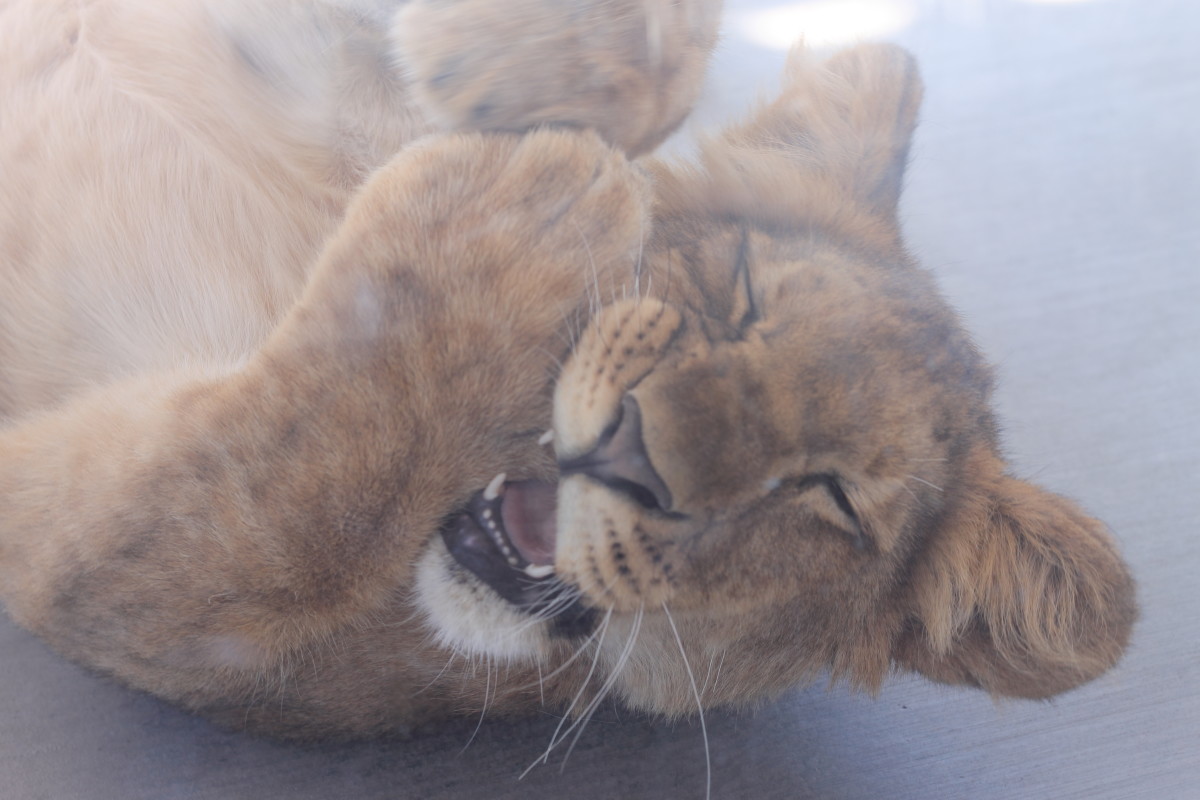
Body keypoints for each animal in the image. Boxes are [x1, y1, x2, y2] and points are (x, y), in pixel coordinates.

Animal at [0, 0, 1135, 743]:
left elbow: (254, 511)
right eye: (738, 293)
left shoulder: (137, 606)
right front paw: (511, 86)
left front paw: (510, 212)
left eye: (834, 500)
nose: (635, 455)